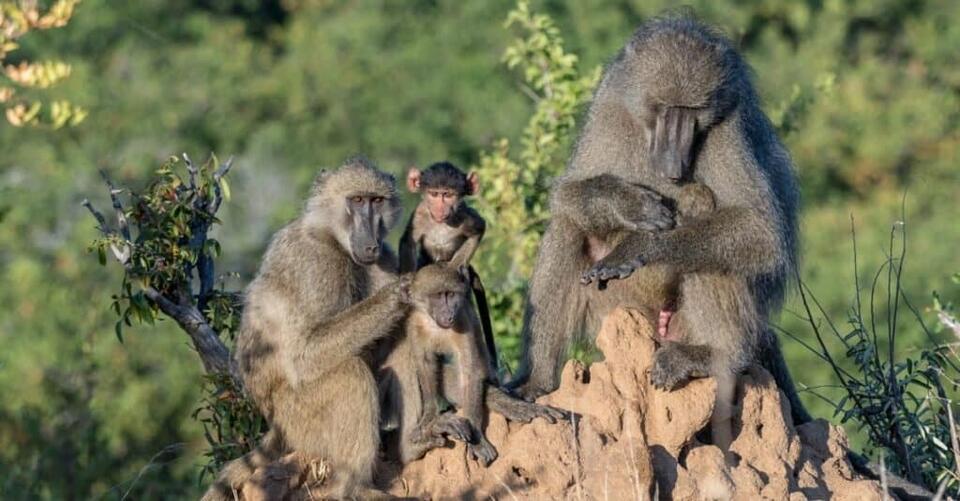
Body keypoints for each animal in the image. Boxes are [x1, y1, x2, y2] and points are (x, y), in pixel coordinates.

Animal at [202, 157, 410, 501]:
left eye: (377, 201)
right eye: (356, 200)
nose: (371, 243)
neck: (331, 236)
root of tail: (274, 423)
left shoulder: (385, 259)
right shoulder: (316, 264)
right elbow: (304, 354)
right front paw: (399, 294)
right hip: (299, 418)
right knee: (350, 374)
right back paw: (354, 487)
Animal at [379, 263, 498, 466]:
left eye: (450, 294)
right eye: (438, 296)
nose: (448, 315)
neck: (435, 325)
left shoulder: (463, 320)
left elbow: (470, 371)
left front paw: (476, 435)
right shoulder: (415, 324)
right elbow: (426, 366)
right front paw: (429, 416)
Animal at [398, 161, 498, 376]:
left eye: (448, 195)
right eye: (434, 194)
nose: (440, 208)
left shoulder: (465, 216)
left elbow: (479, 229)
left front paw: (454, 267)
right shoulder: (420, 214)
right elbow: (408, 241)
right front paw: (405, 283)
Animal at [509, 16, 812, 427]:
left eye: (691, 110)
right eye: (663, 107)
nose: (672, 158)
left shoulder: (728, 124)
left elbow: (759, 231)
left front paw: (639, 246)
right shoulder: (610, 109)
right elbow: (567, 193)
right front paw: (629, 204)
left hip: (683, 325)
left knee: (714, 252)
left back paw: (716, 355)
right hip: (617, 308)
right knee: (569, 227)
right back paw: (536, 382)